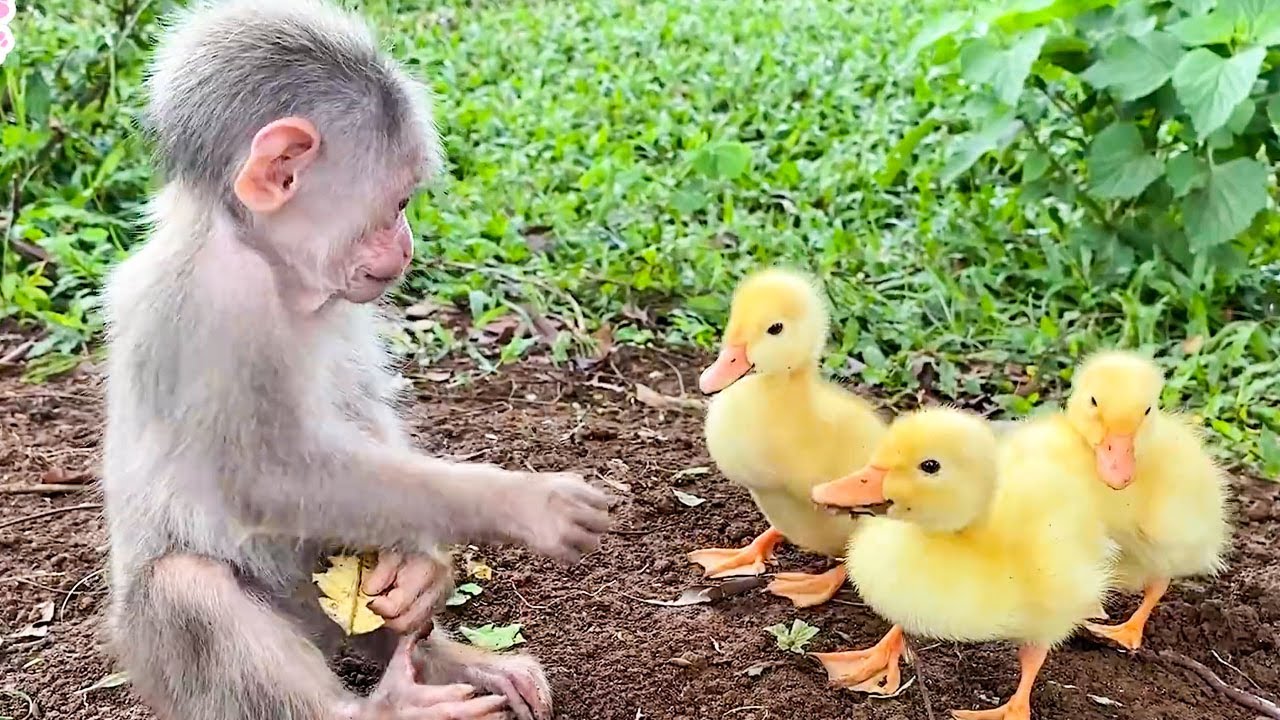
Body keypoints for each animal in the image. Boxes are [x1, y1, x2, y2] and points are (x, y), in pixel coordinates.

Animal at [97, 1, 610, 719]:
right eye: (397, 205)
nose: (409, 244)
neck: (261, 257)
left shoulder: (339, 301)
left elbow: (360, 411)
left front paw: (425, 568)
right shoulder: (218, 302)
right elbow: (269, 476)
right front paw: (518, 501)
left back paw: (444, 656)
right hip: (165, 659)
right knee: (186, 584)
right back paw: (382, 707)